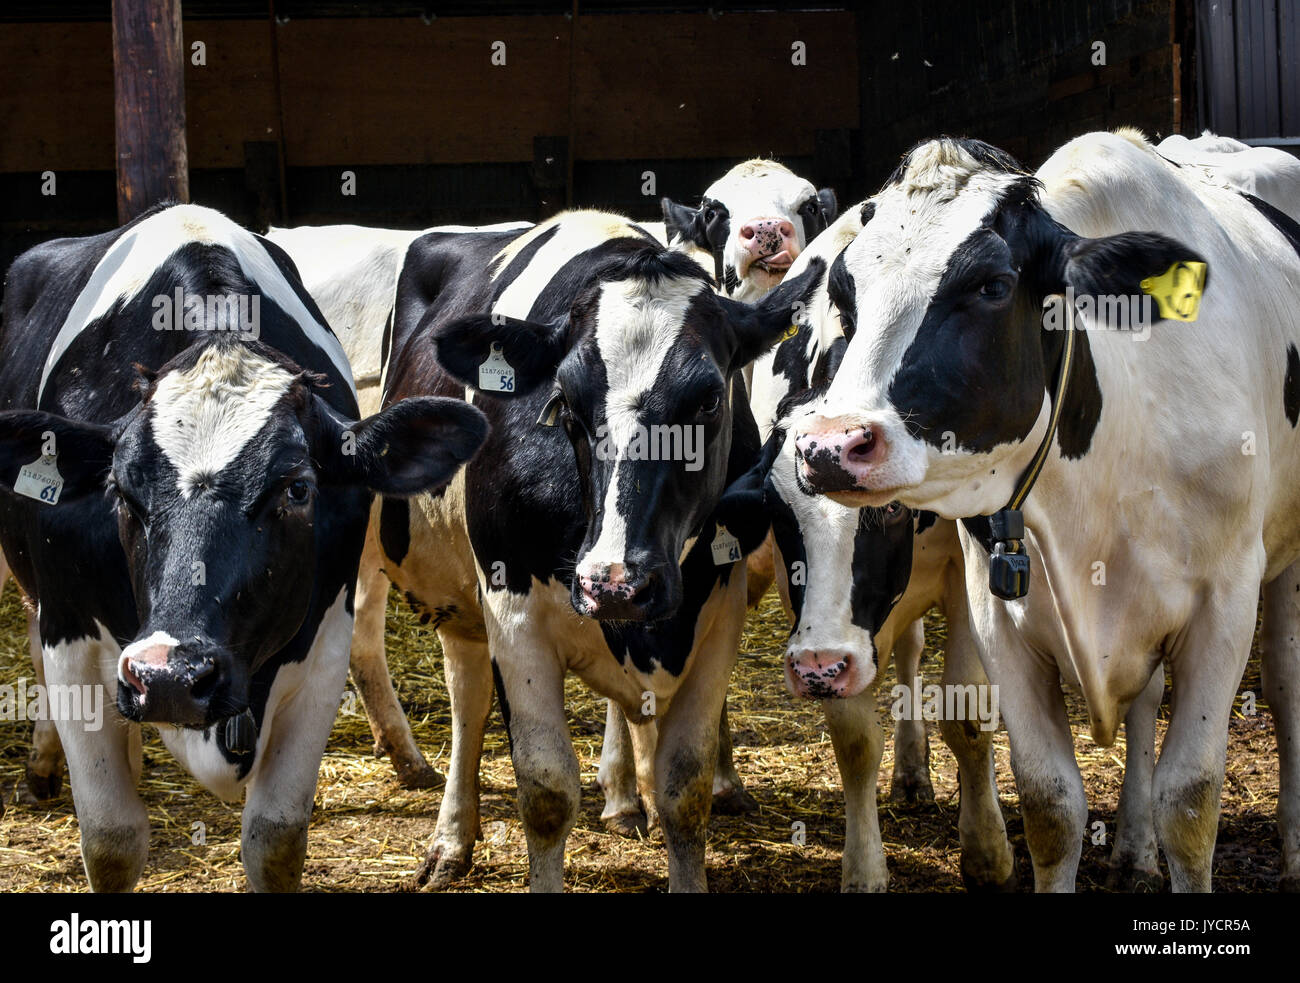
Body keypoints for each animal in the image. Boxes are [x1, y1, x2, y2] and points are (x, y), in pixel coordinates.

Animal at [0, 203, 487, 891]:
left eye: (298, 488)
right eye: (120, 490)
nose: (171, 677)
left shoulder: (321, 647)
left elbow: (276, 841)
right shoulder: (71, 633)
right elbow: (112, 840)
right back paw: (44, 766)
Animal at [378, 208, 823, 891]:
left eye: (710, 398)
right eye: (564, 401)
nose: (617, 582)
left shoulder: (719, 610)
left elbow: (685, 786)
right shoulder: (512, 613)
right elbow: (546, 789)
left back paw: (623, 797)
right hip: (461, 604)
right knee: (468, 701)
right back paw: (451, 840)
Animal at [792, 130, 1300, 892]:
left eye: (991, 286)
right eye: (846, 296)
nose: (829, 444)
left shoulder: (1224, 602)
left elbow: (1189, 803)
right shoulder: (998, 614)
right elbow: (1050, 805)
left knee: (1288, 688)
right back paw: (1132, 845)